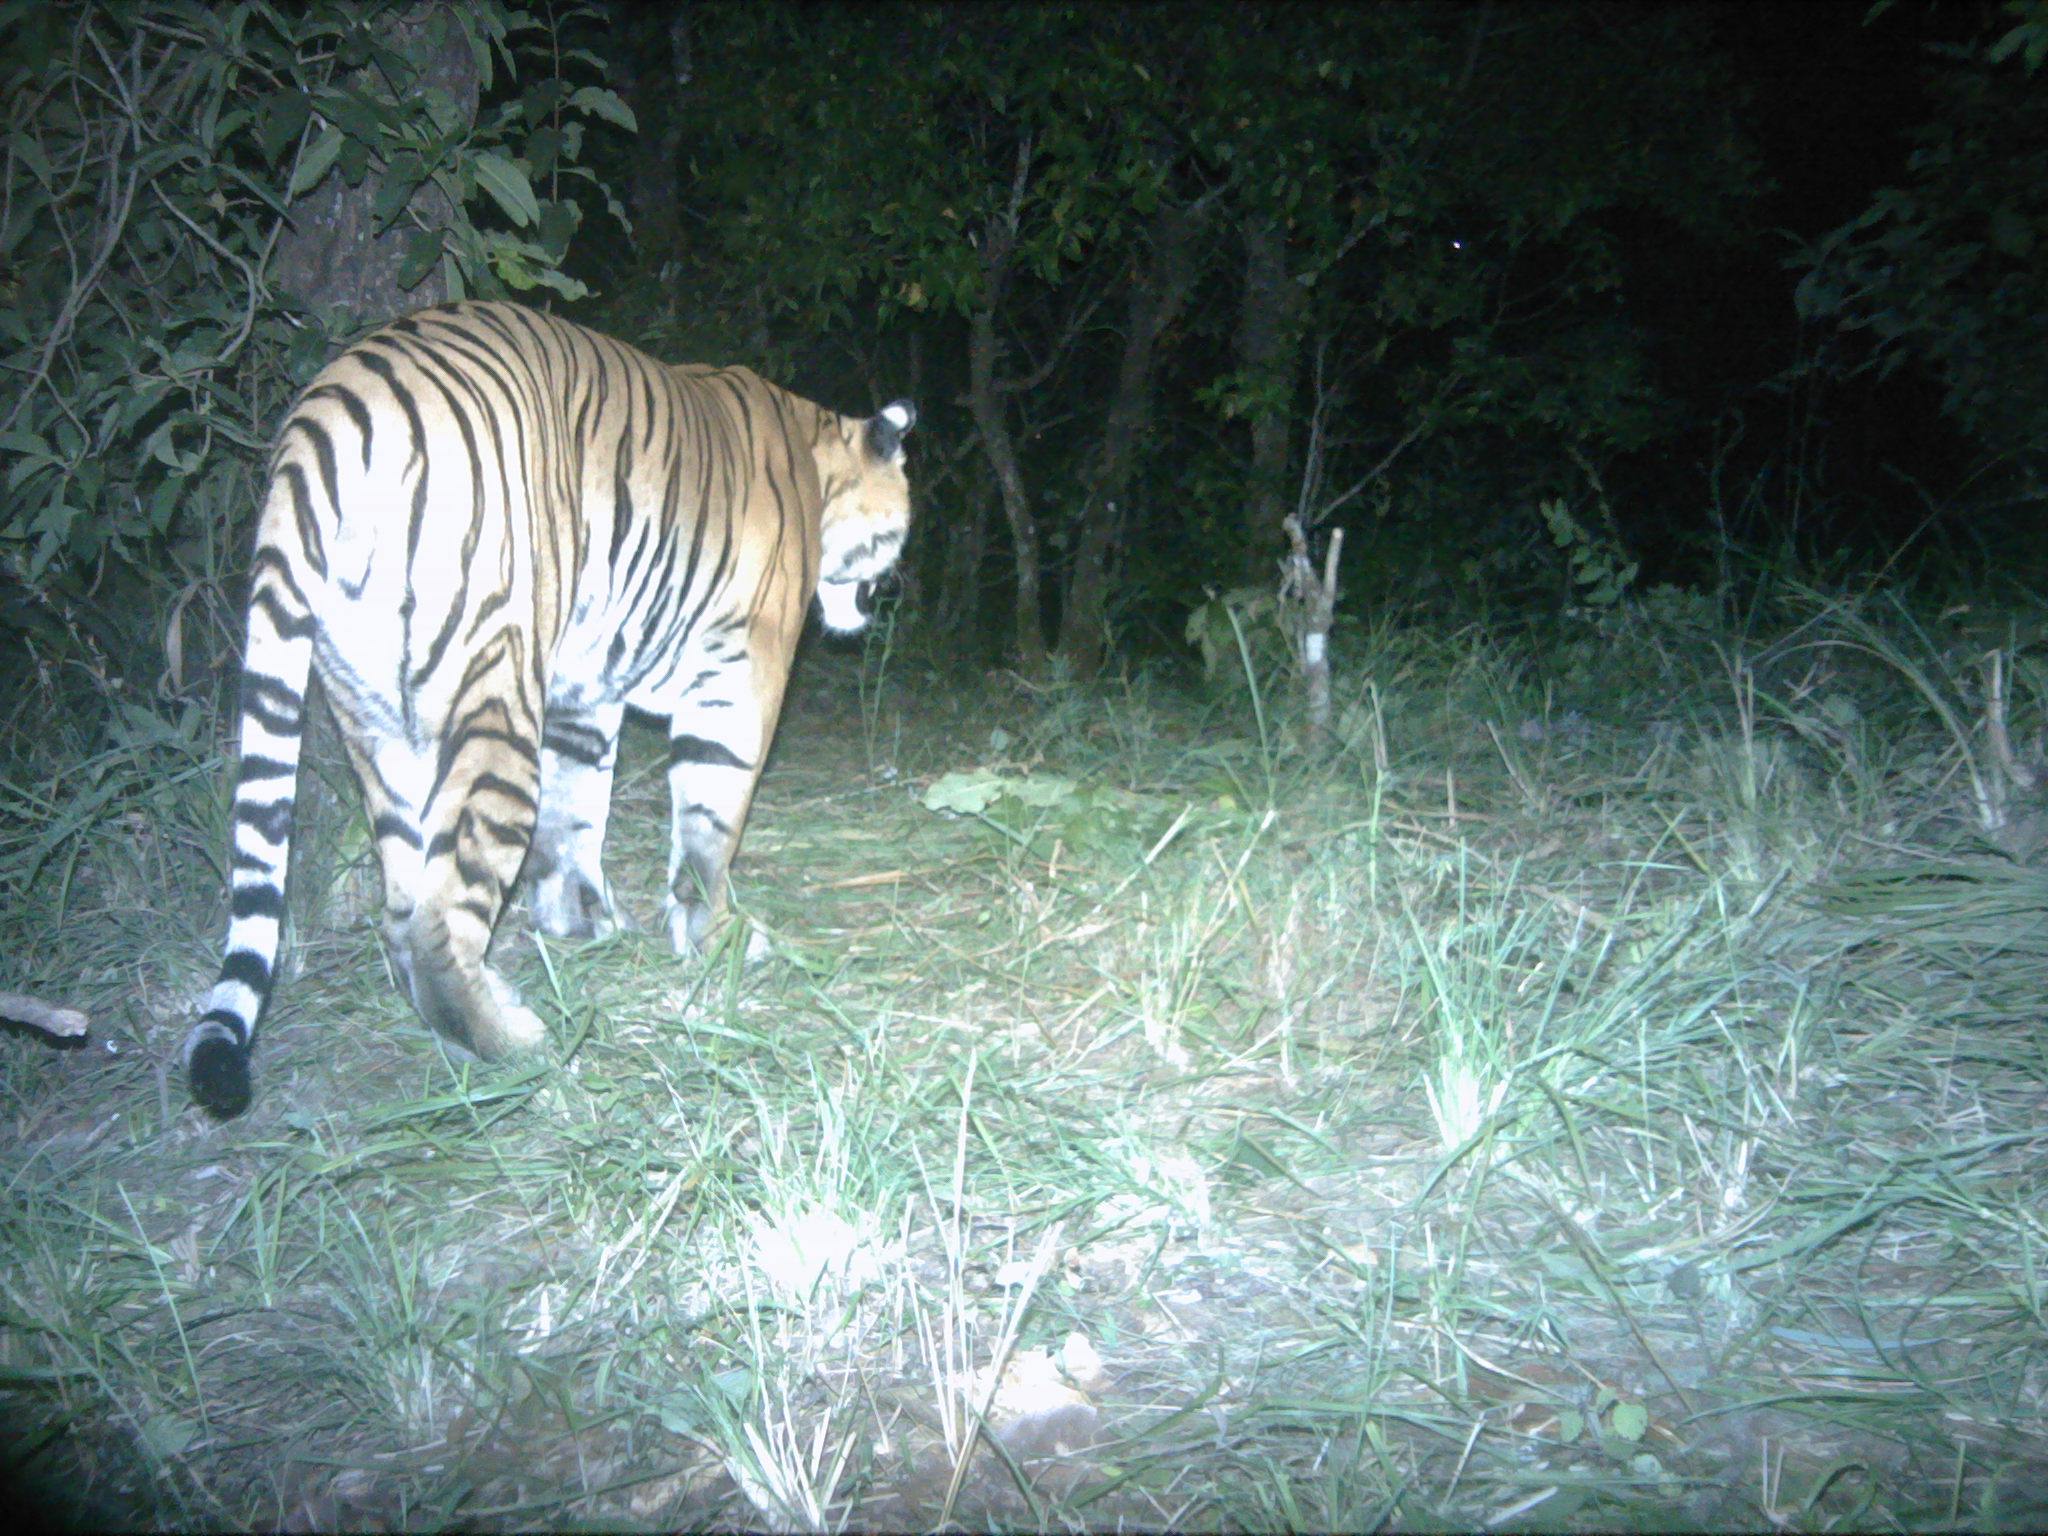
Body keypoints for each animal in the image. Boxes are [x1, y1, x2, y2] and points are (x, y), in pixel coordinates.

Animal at [183, 300, 915, 1120]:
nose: (887, 594)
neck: (813, 452)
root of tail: (324, 417)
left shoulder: (582, 687)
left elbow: (576, 810)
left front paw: (580, 920)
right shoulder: (741, 672)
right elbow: (708, 823)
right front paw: (716, 938)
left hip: (374, 719)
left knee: (402, 904)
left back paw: (468, 1026)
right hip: (494, 691)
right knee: (440, 916)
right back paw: (519, 1048)